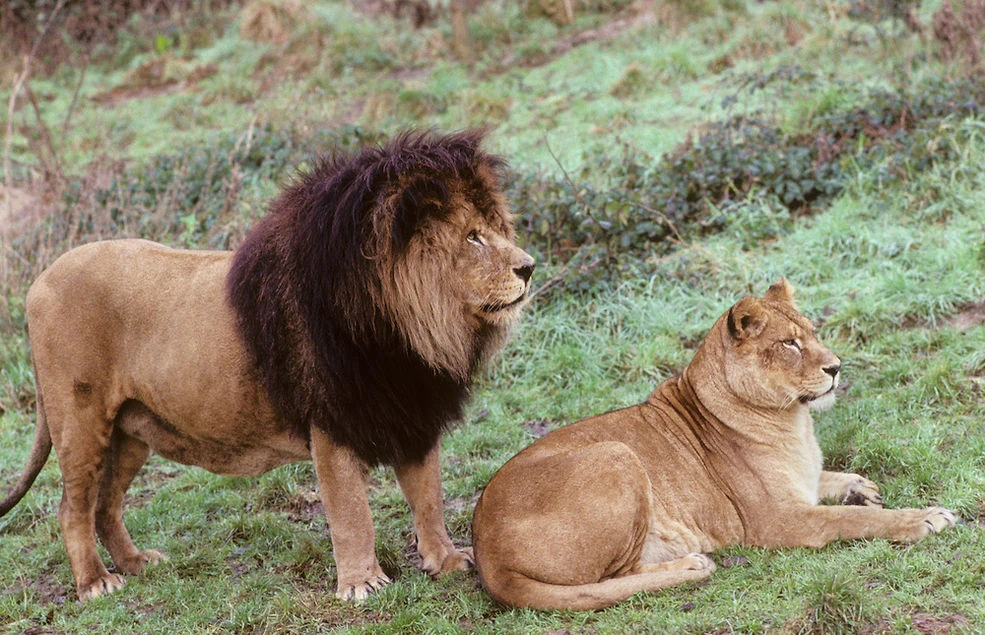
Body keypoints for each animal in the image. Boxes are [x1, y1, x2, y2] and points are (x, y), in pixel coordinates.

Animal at [0, 129, 535, 603]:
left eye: (498, 228)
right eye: (473, 238)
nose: (529, 267)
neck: (408, 330)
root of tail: (39, 280)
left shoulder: (410, 412)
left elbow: (429, 498)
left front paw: (446, 562)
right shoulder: (332, 423)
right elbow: (351, 513)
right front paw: (362, 584)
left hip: (131, 429)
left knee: (106, 504)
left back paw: (135, 564)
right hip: (81, 419)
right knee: (73, 507)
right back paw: (95, 583)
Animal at [472, 279, 957, 611]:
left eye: (813, 333)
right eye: (789, 343)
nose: (836, 367)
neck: (794, 421)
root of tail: (486, 553)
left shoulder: (801, 481)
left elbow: (830, 479)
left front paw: (860, 487)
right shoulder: (778, 521)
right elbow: (850, 520)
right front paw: (924, 518)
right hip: (616, 454)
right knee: (611, 578)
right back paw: (691, 564)